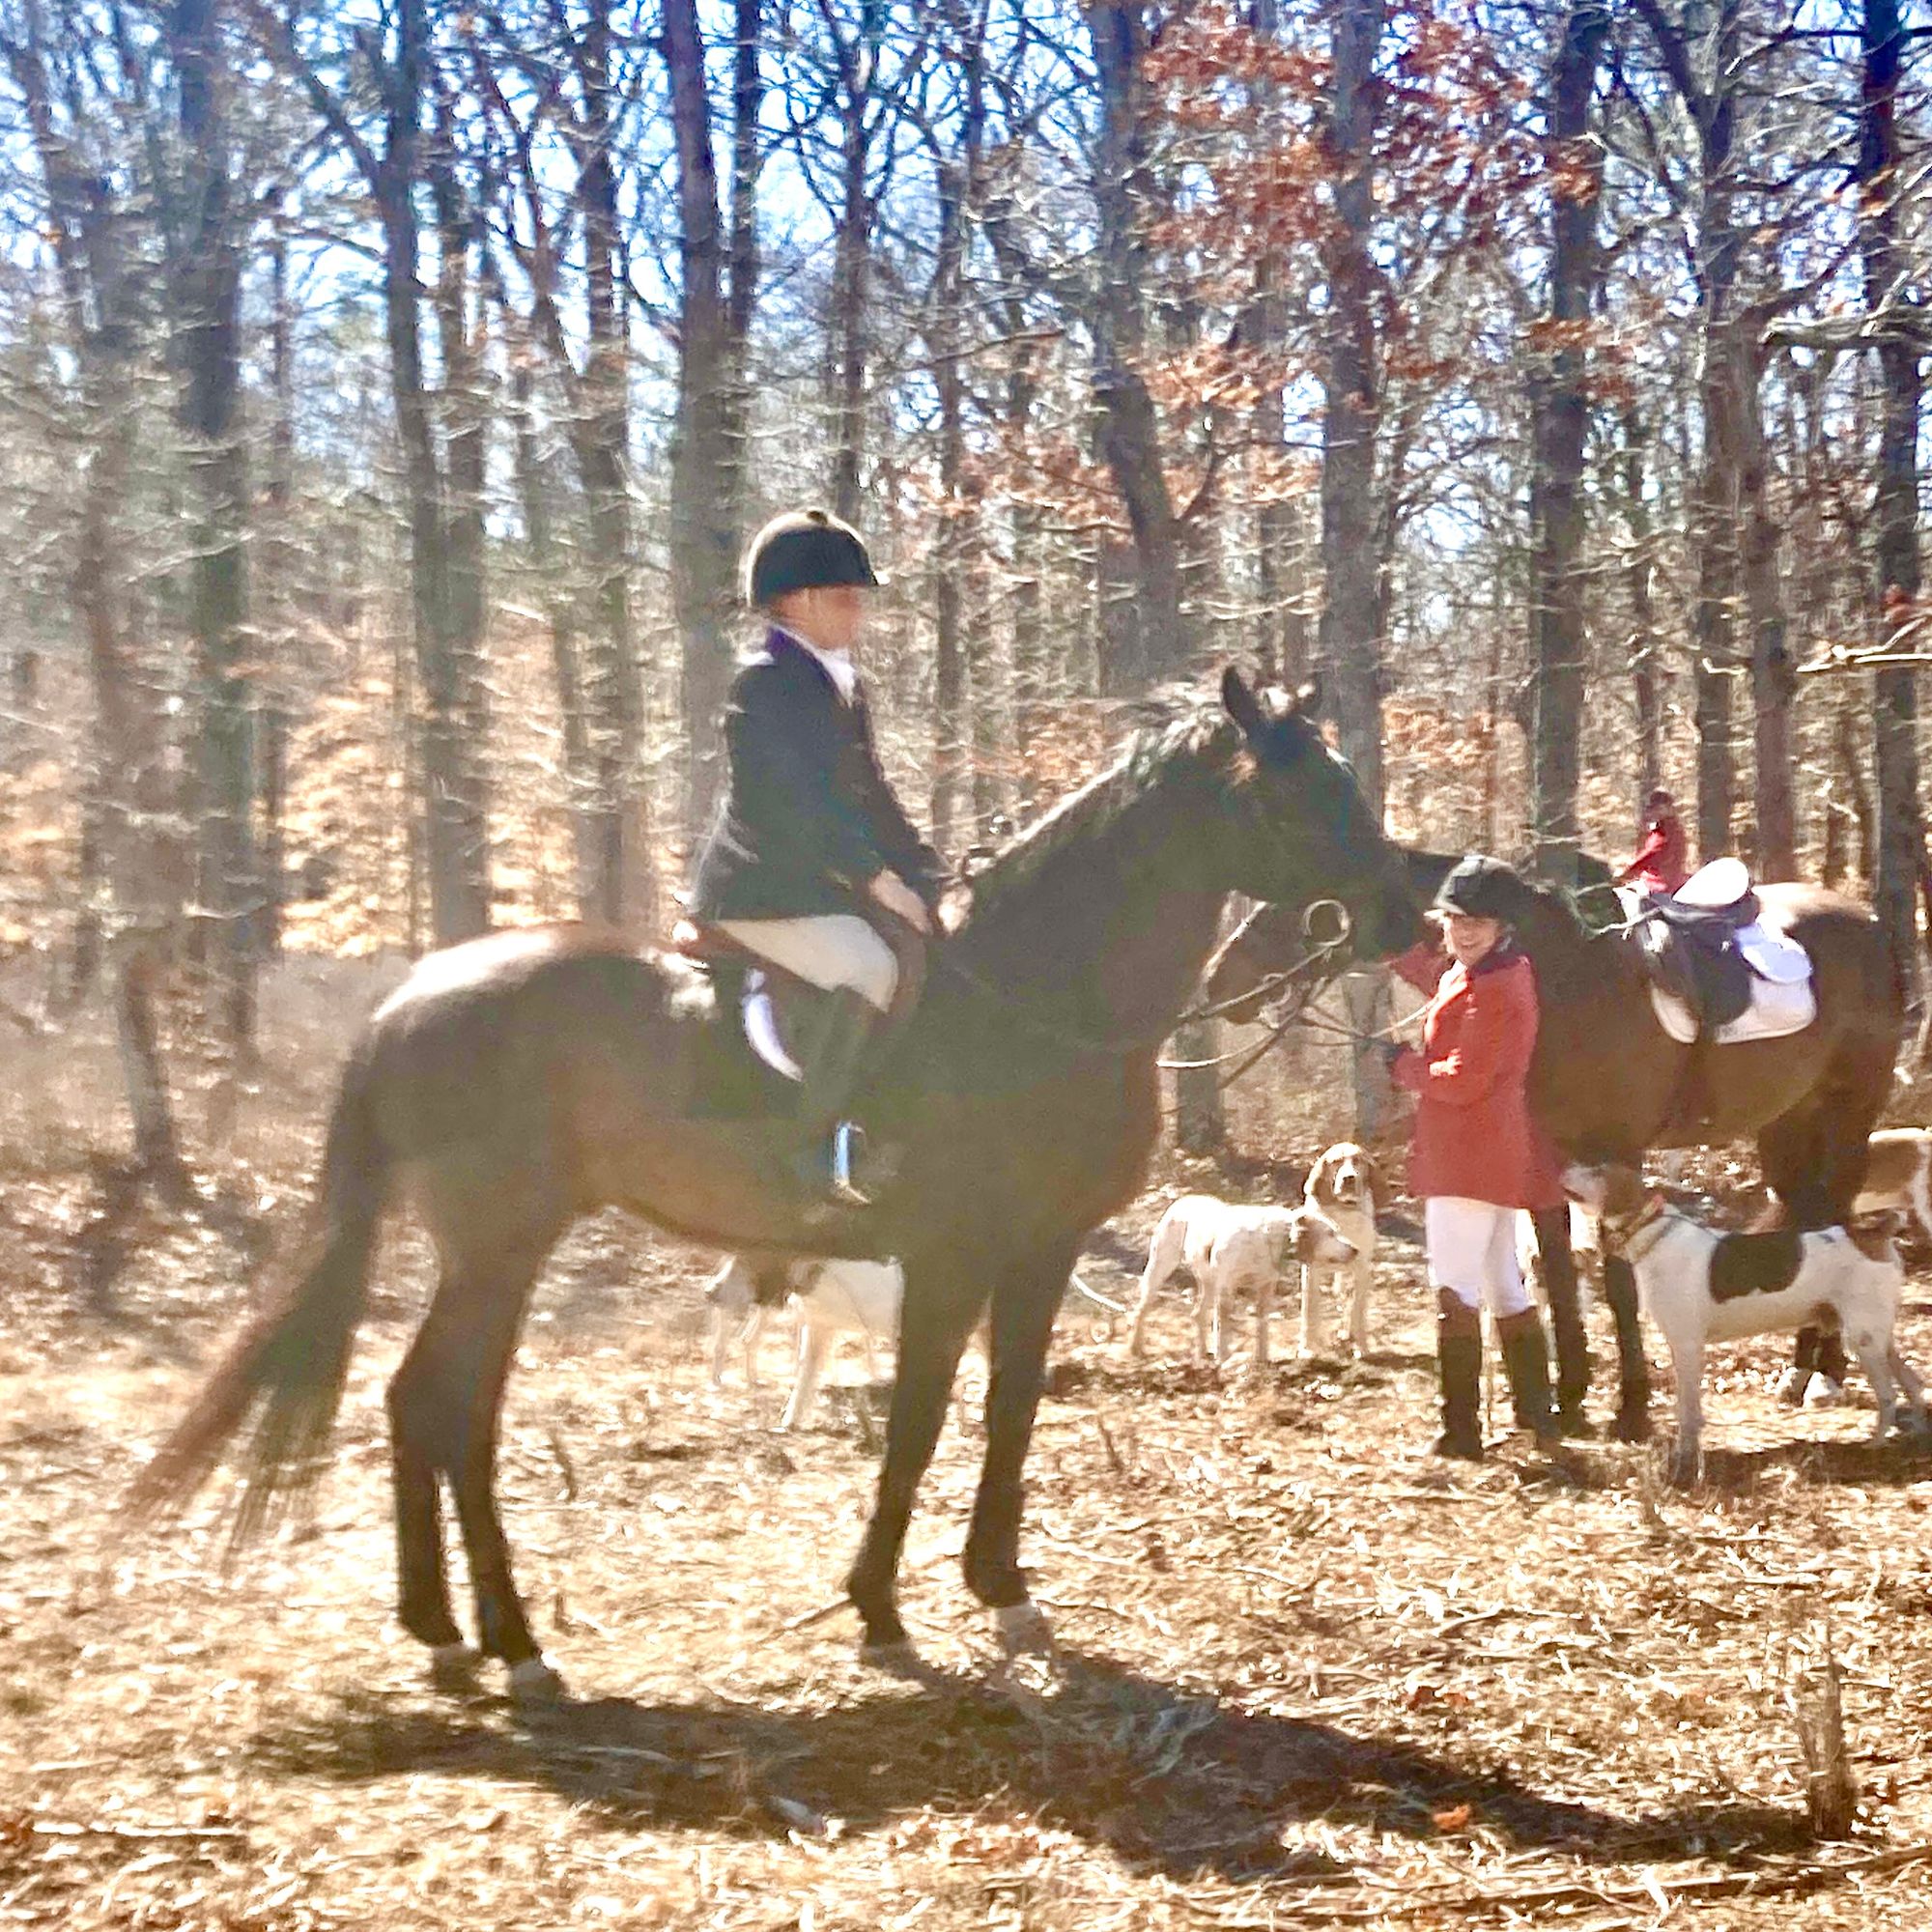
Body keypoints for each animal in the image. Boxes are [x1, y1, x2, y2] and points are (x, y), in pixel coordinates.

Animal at [128, 671, 1422, 1693]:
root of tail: (407, 994)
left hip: (490, 1250)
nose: (1402, 916)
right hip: (501, 1245)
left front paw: (1000, 1588)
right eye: (1296, 794)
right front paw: (882, 1611)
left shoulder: (1041, 1248)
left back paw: (448, 1633)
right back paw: (514, 1643)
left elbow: (1008, 1409)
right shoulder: (949, 1255)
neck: (1032, 995)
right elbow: (916, 1423)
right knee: (452, 1410)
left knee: (419, 1405)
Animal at [1204, 851, 1903, 1439]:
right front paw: (1567, 1398)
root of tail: (1869, 926)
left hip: (1847, 1113)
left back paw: (1824, 1374)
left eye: (1285, 895)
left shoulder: (1616, 1152)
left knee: (1837, 1213)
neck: (1561, 976)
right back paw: (1802, 1367)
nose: (1213, 984)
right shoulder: (1546, 1159)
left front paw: (1630, 1408)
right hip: (1788, 1121)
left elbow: (1617, 1284)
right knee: (1812, 1214)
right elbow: (1561, 1274)